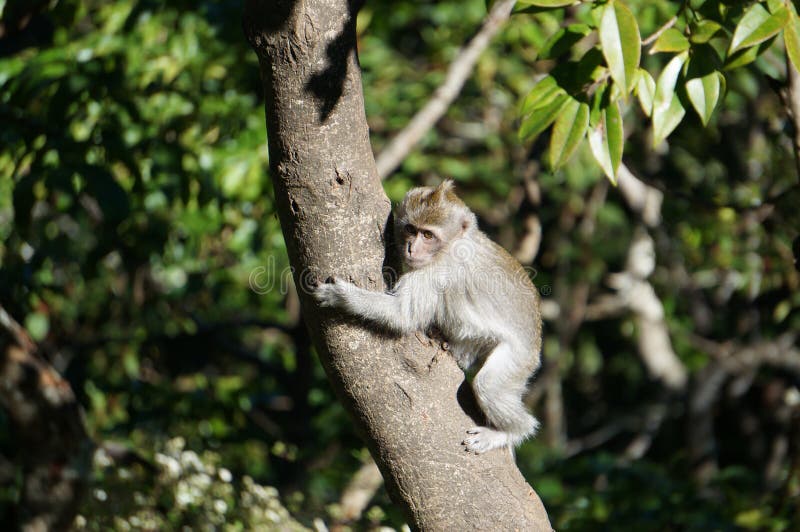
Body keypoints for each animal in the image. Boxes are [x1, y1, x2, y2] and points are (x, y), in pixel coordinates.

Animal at [313, 180, 542, 454]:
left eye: (428, 235)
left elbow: (402, 315)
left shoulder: (434, 272)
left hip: (518, 359)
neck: (452, 244)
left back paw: (509, 432)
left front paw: (339, 295)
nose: (412, 248)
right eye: (411, 229)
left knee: (488, 385)